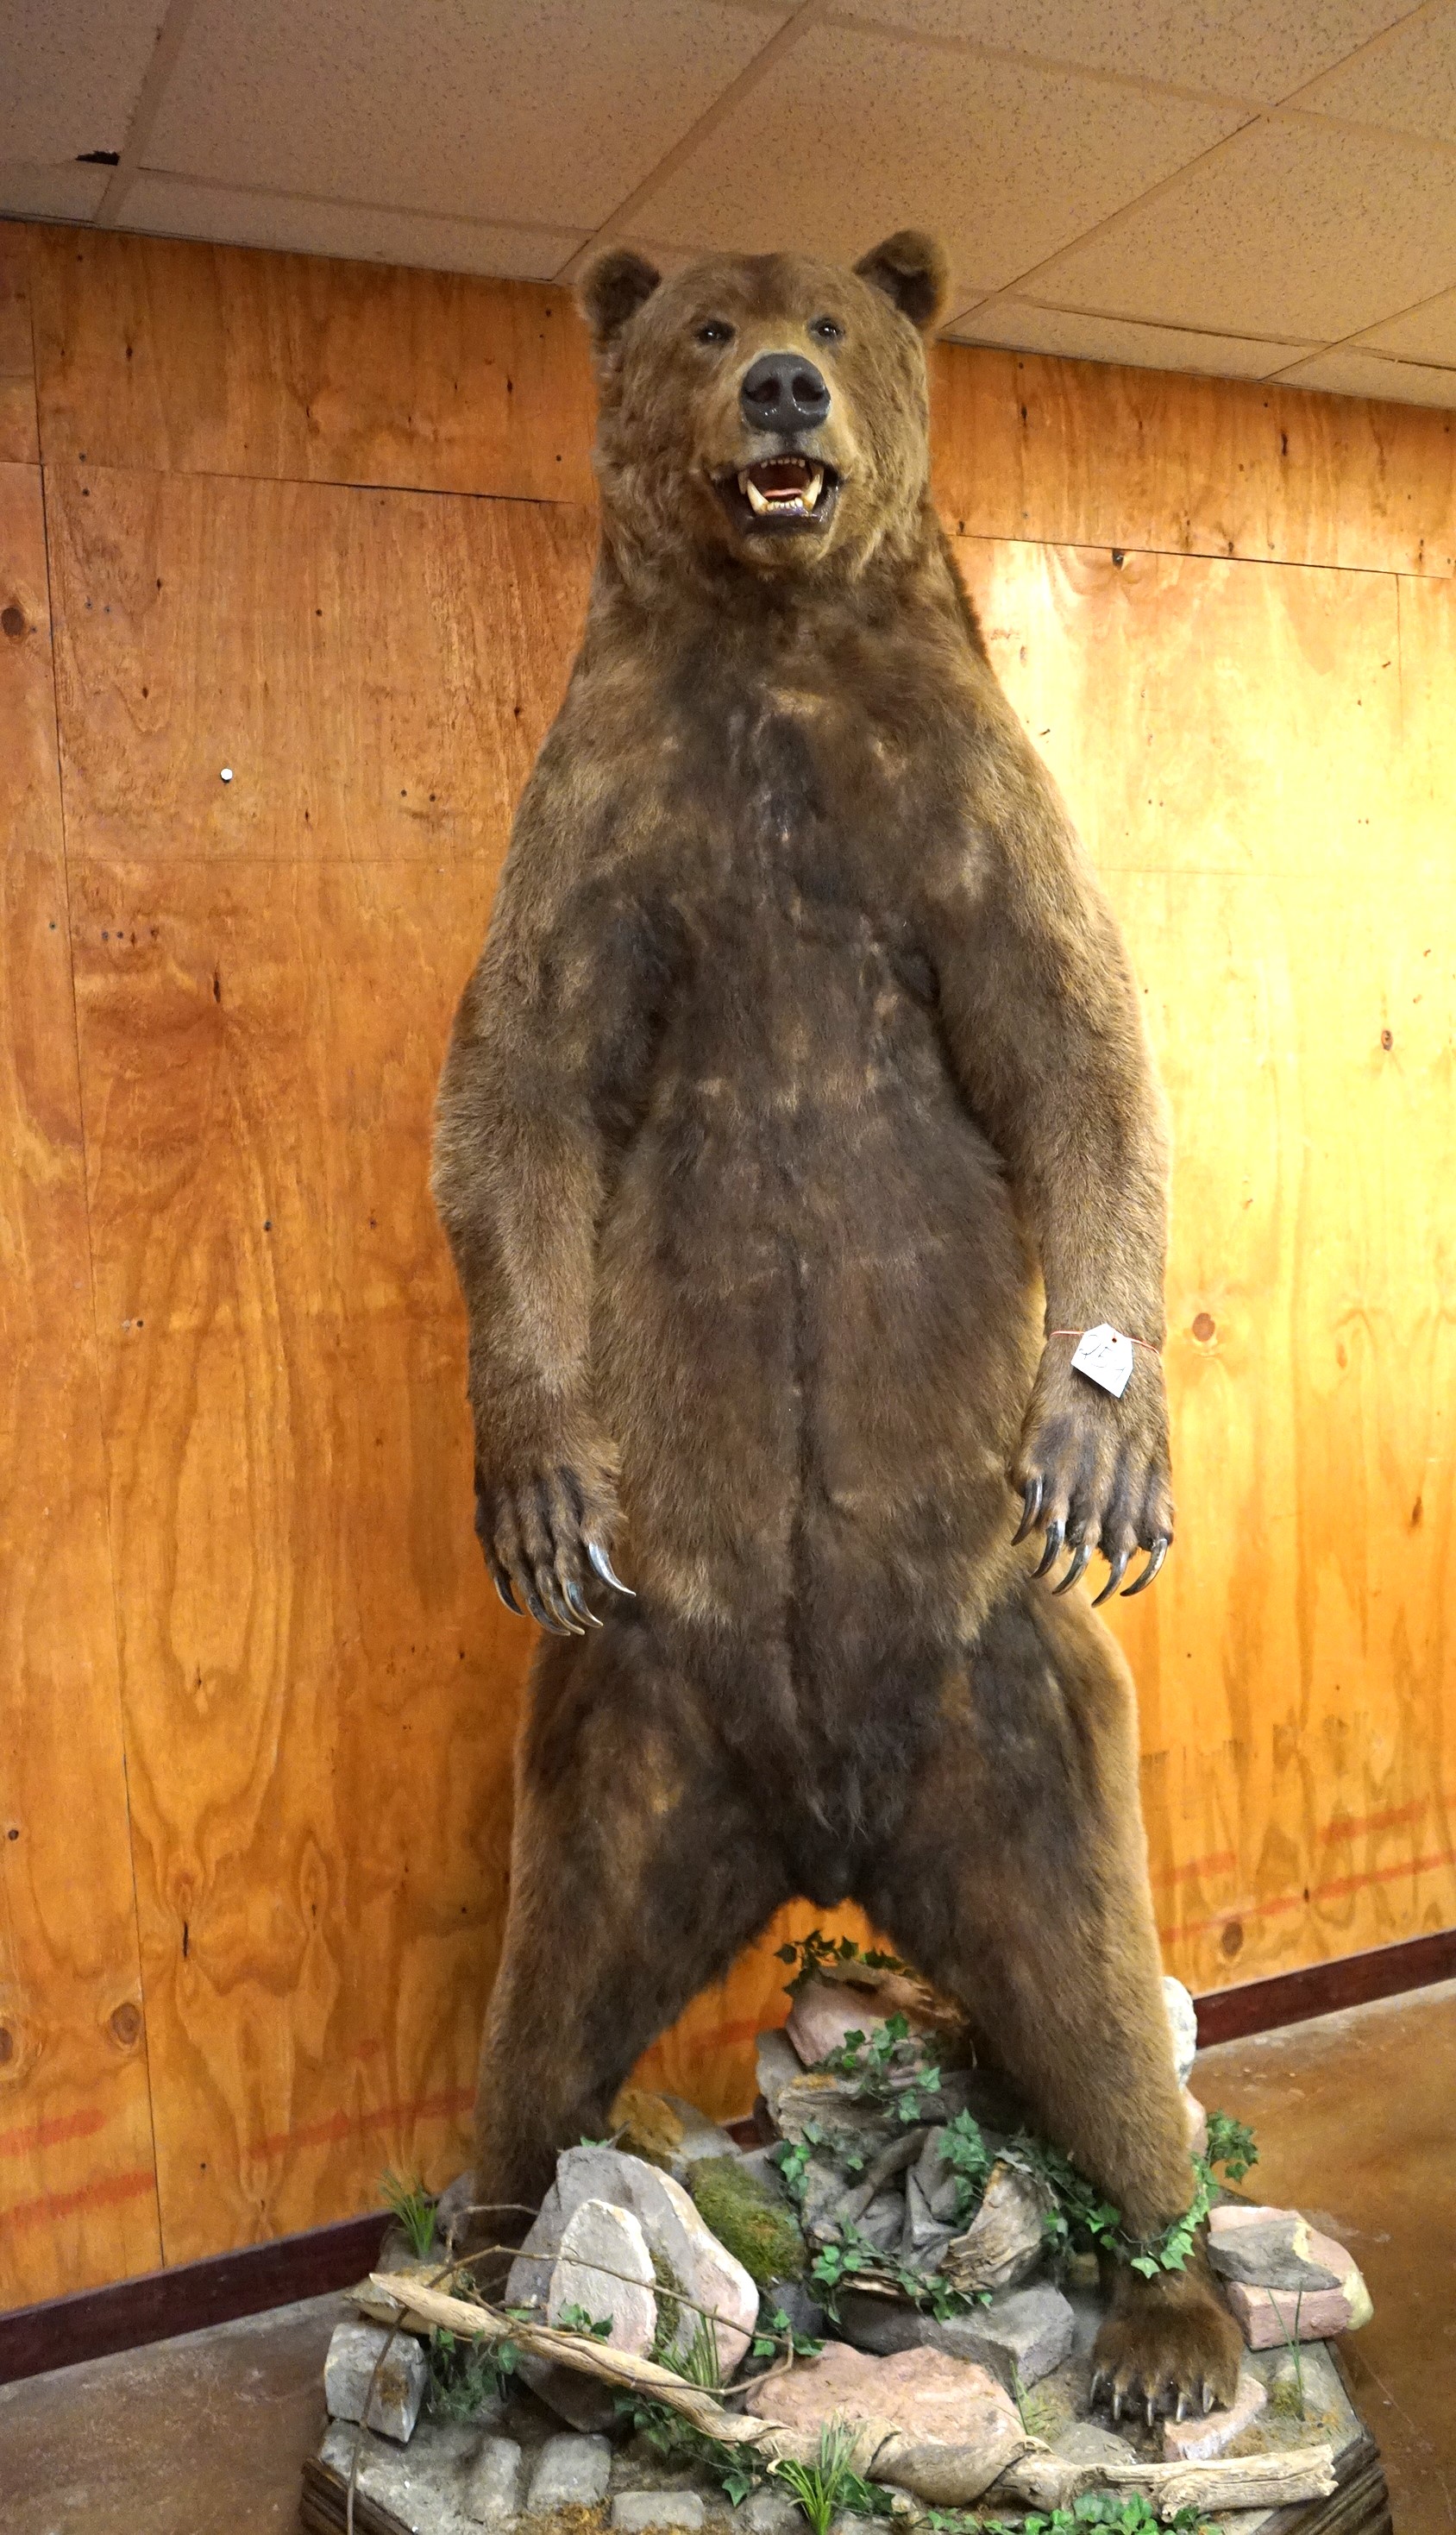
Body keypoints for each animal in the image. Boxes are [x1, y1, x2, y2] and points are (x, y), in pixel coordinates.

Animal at [431, 229, 1243, 2422]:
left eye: (832, 320)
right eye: (706, 325)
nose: (784, 388)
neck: (776, 661)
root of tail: (825, 1826)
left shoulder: (962, 804)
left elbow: (1080, 1046)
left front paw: (1099, 1441)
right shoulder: (605, 817)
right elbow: (518, 1085)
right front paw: (535, 1482)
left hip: (1018, 1722)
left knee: (1100, 2003)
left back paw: (1166, 2320)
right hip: (624, 1734)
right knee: (542, 2005)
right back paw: (494, 2281)